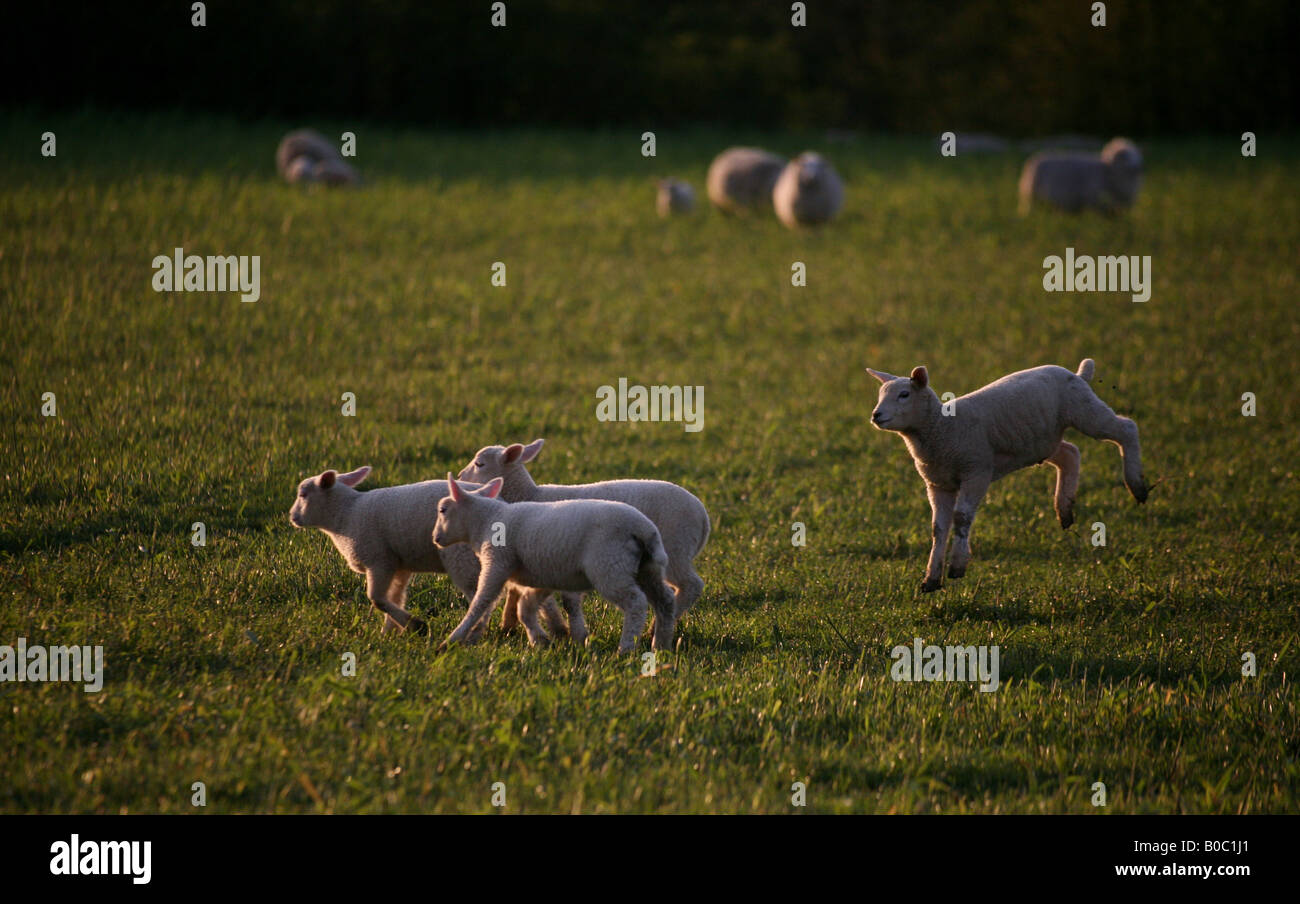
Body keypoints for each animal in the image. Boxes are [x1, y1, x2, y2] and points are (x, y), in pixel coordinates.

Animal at [288, 466, 573, 637]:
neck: (346, 515)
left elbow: (377, 598)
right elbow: (394, 596)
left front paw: (415, 625)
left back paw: (477, 634)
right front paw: (390, 633)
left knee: (482, 597)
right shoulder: (398, 564)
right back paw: (555, 628)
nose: (292, 517)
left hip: (463, 560)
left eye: (304, 494)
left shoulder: (379, 559)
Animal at [432, 476, 677, 654]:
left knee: (636, 603)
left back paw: (626, 649)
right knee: (665, 600)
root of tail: (644, 528)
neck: (486, 521)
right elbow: (525, 608)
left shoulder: (497, 563)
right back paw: (661, 645)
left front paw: (451, 641)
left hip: (610, 568)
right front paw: (540, 641)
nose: (435, 539)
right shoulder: (544, 575)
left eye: (443, 510)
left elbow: (480, 602)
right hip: (648, 569)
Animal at [458, 439, 710, 620]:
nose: (459, 476)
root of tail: (703, 514)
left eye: (479, 464)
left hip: (675, 547)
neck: (530, 494)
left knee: (691, 585)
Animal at [866, 359, 1149, 593]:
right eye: (880, 395)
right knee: (1071, 453)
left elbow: (962, 518)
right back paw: (1065, 509)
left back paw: (1137, 485)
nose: (875, 415)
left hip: (1083, 409)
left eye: (904, 394)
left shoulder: (976, 471)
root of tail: (1077, 374)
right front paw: (931, 579)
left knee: (1126, 429)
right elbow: (938, 529)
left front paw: (958, 565)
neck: (941, 427)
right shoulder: (937, 484)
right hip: (1042, 441)